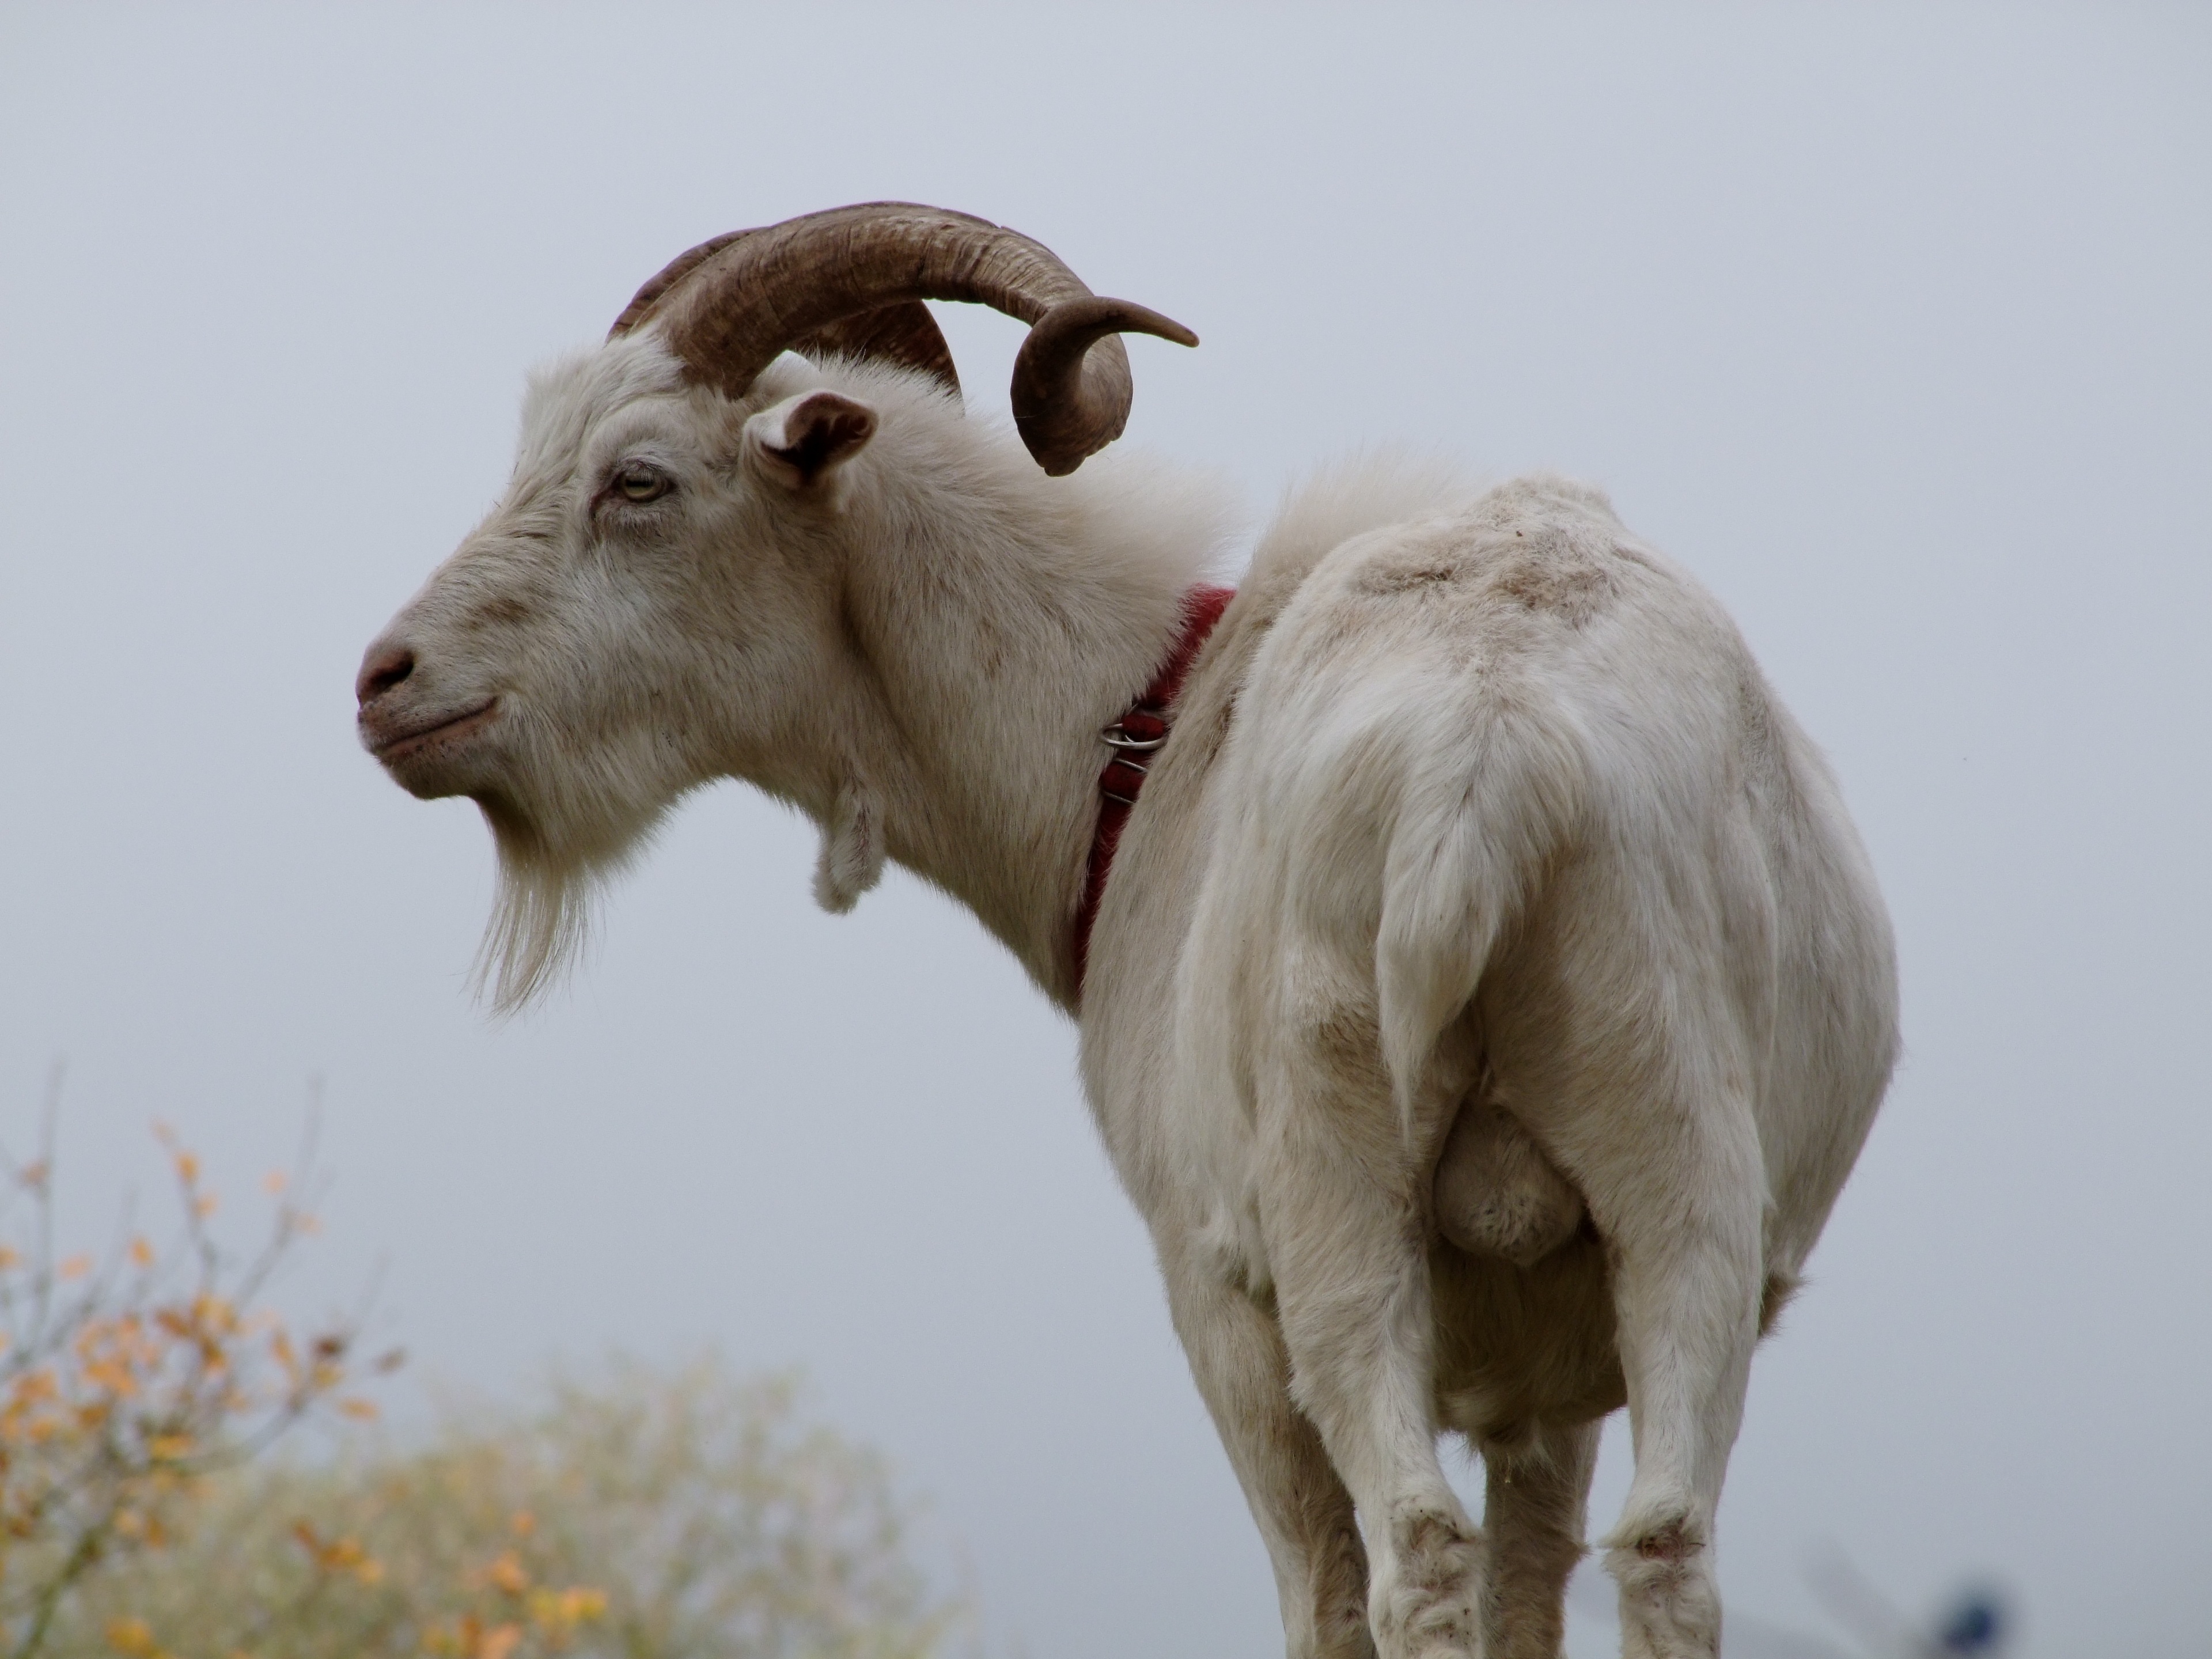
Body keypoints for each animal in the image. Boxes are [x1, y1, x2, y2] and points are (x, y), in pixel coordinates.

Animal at [357, 203, 1898, 1659]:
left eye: (639, 479)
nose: (388, 681)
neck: (1141, 736)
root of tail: (1488, 749)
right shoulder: (1550, 1367)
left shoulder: (1212, 1290)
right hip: (1674, 1188)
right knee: (1665, 1552)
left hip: (1333, 1220)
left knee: (1401, 1560)